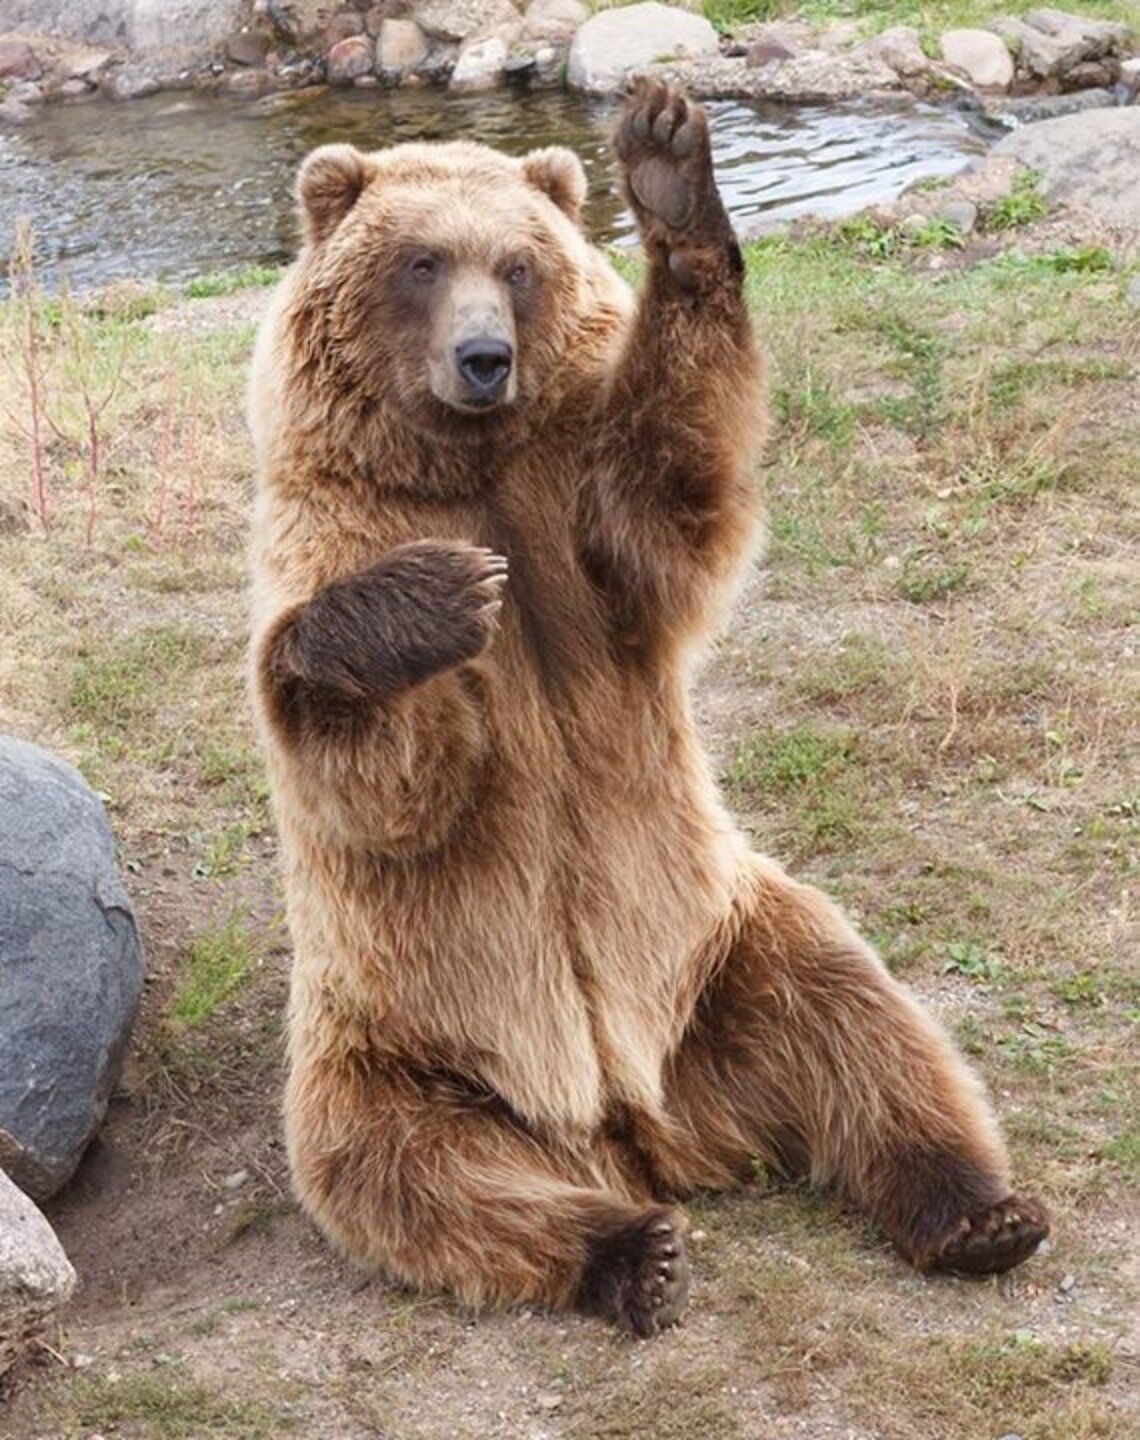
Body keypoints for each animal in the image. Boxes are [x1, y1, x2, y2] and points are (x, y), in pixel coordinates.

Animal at [246, 79, 1050, 1337]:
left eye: (517, 264)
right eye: (422, 261)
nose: (484, 358)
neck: (470, 468)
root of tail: (641, 1131)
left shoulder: (572, 526)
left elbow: (665, 501)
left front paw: (670, 169)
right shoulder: (338, 532)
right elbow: (393, 777)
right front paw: (434, 601)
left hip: (720, 948)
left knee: (865, 1024)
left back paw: (979, 1211)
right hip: (399, 1042)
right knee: (405, 1172)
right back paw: (632, 1251)